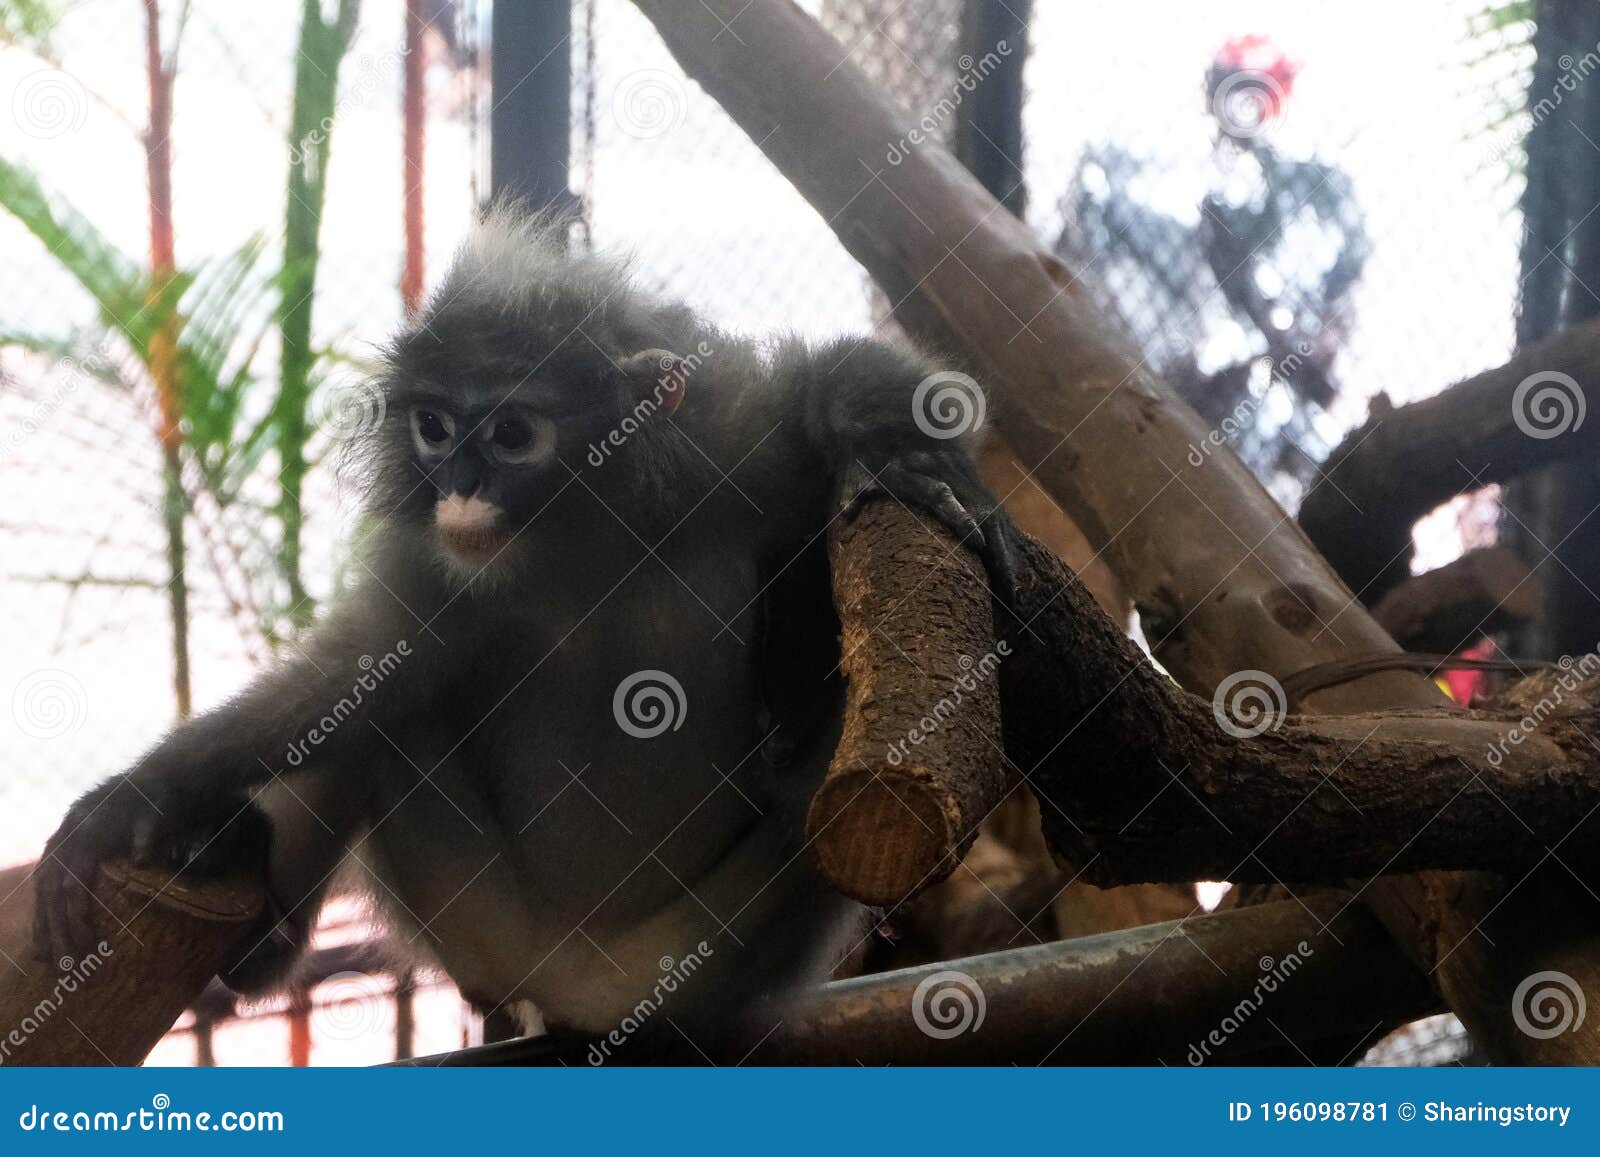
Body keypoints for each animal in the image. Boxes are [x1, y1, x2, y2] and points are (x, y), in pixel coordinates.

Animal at [33, 208, 1015, 1049]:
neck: (584, 537)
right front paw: (130, 799)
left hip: (717, 950)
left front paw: (892, 443)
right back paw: (254, 932)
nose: (460, 489)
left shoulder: (724, 440)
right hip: (476, 921)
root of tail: (568, 983)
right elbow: (346, 676)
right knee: (381, 720)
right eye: (433, 428)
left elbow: (832, 384)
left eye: (510, 435)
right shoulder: (434, 567)